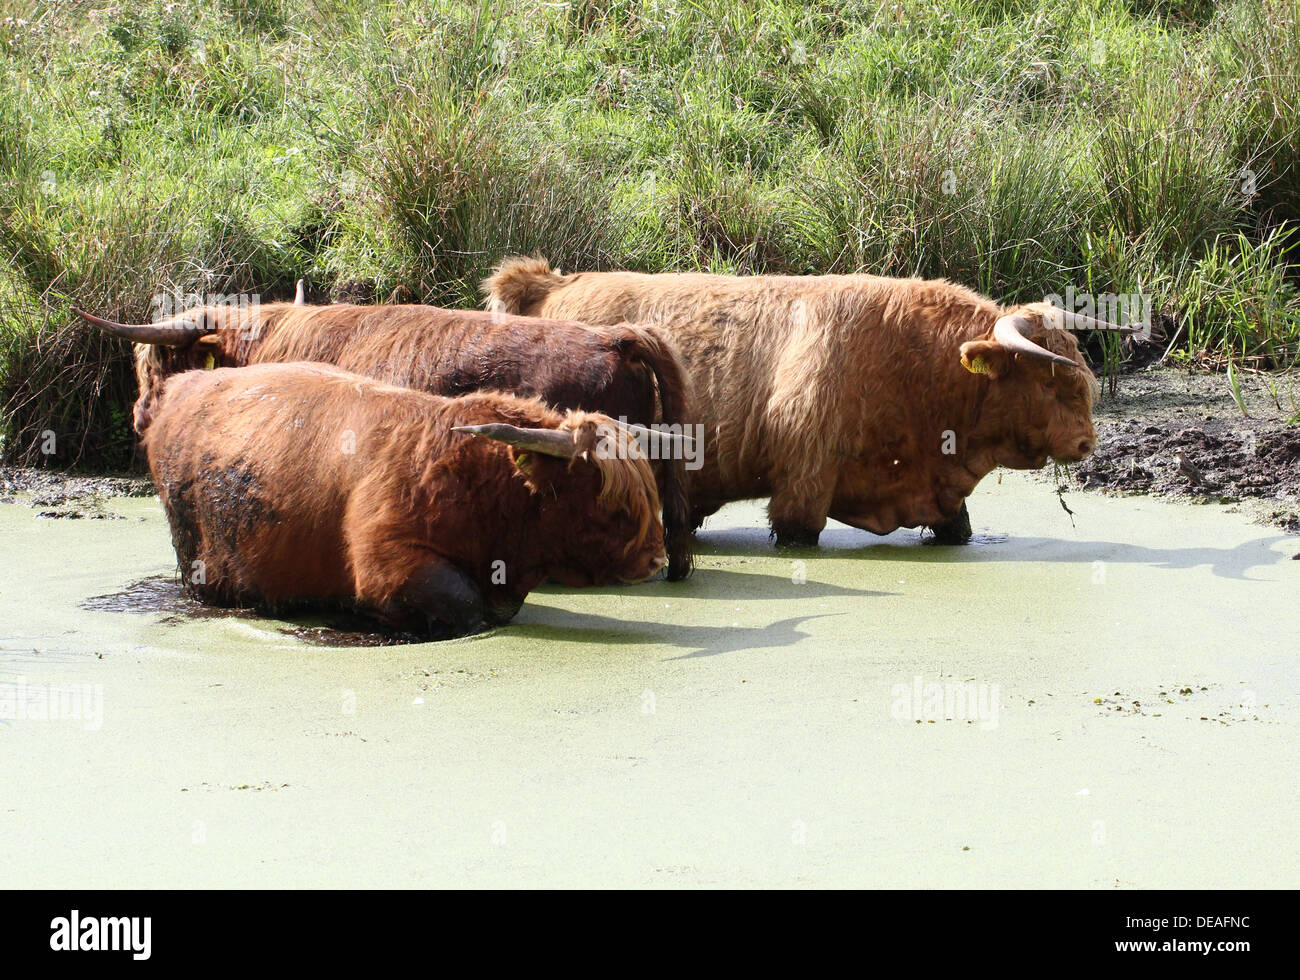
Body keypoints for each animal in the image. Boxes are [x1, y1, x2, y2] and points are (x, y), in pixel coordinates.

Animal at [142, 362, 673, 639]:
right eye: (609, 502)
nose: (657, 560)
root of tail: (184, 384)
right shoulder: (387, 560)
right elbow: (462, 605)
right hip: (196, 555)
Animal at [484, 257, 1111, 548]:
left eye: (1083, 372)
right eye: (1049, 381)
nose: (1087, 441)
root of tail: (550, 282)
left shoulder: (943, 502)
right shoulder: (802, 488)